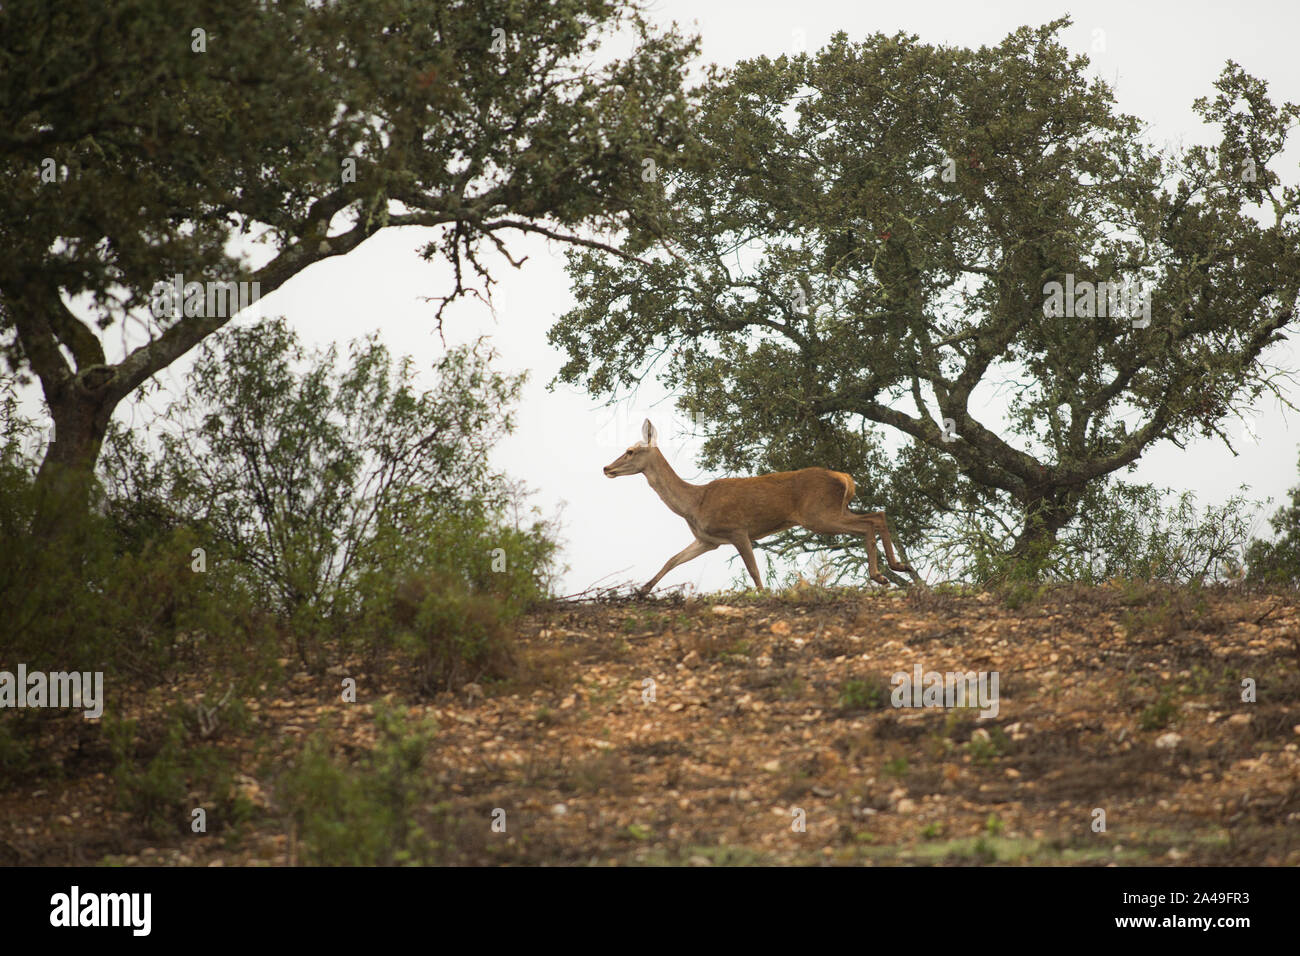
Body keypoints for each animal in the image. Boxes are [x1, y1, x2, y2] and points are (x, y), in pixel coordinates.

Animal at [603, 420, 913, 595]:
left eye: (630, 451)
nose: (606, 468)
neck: (694, 503)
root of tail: (844, 478)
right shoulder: (708, 541)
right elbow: (672, 559)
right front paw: (642, 590)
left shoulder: (737, 530)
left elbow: (753, 570)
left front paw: (763, 594)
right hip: (835, 509)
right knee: (878, 514)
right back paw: (898, 565)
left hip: (819, 515)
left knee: (868, 523)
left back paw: (880, 574)